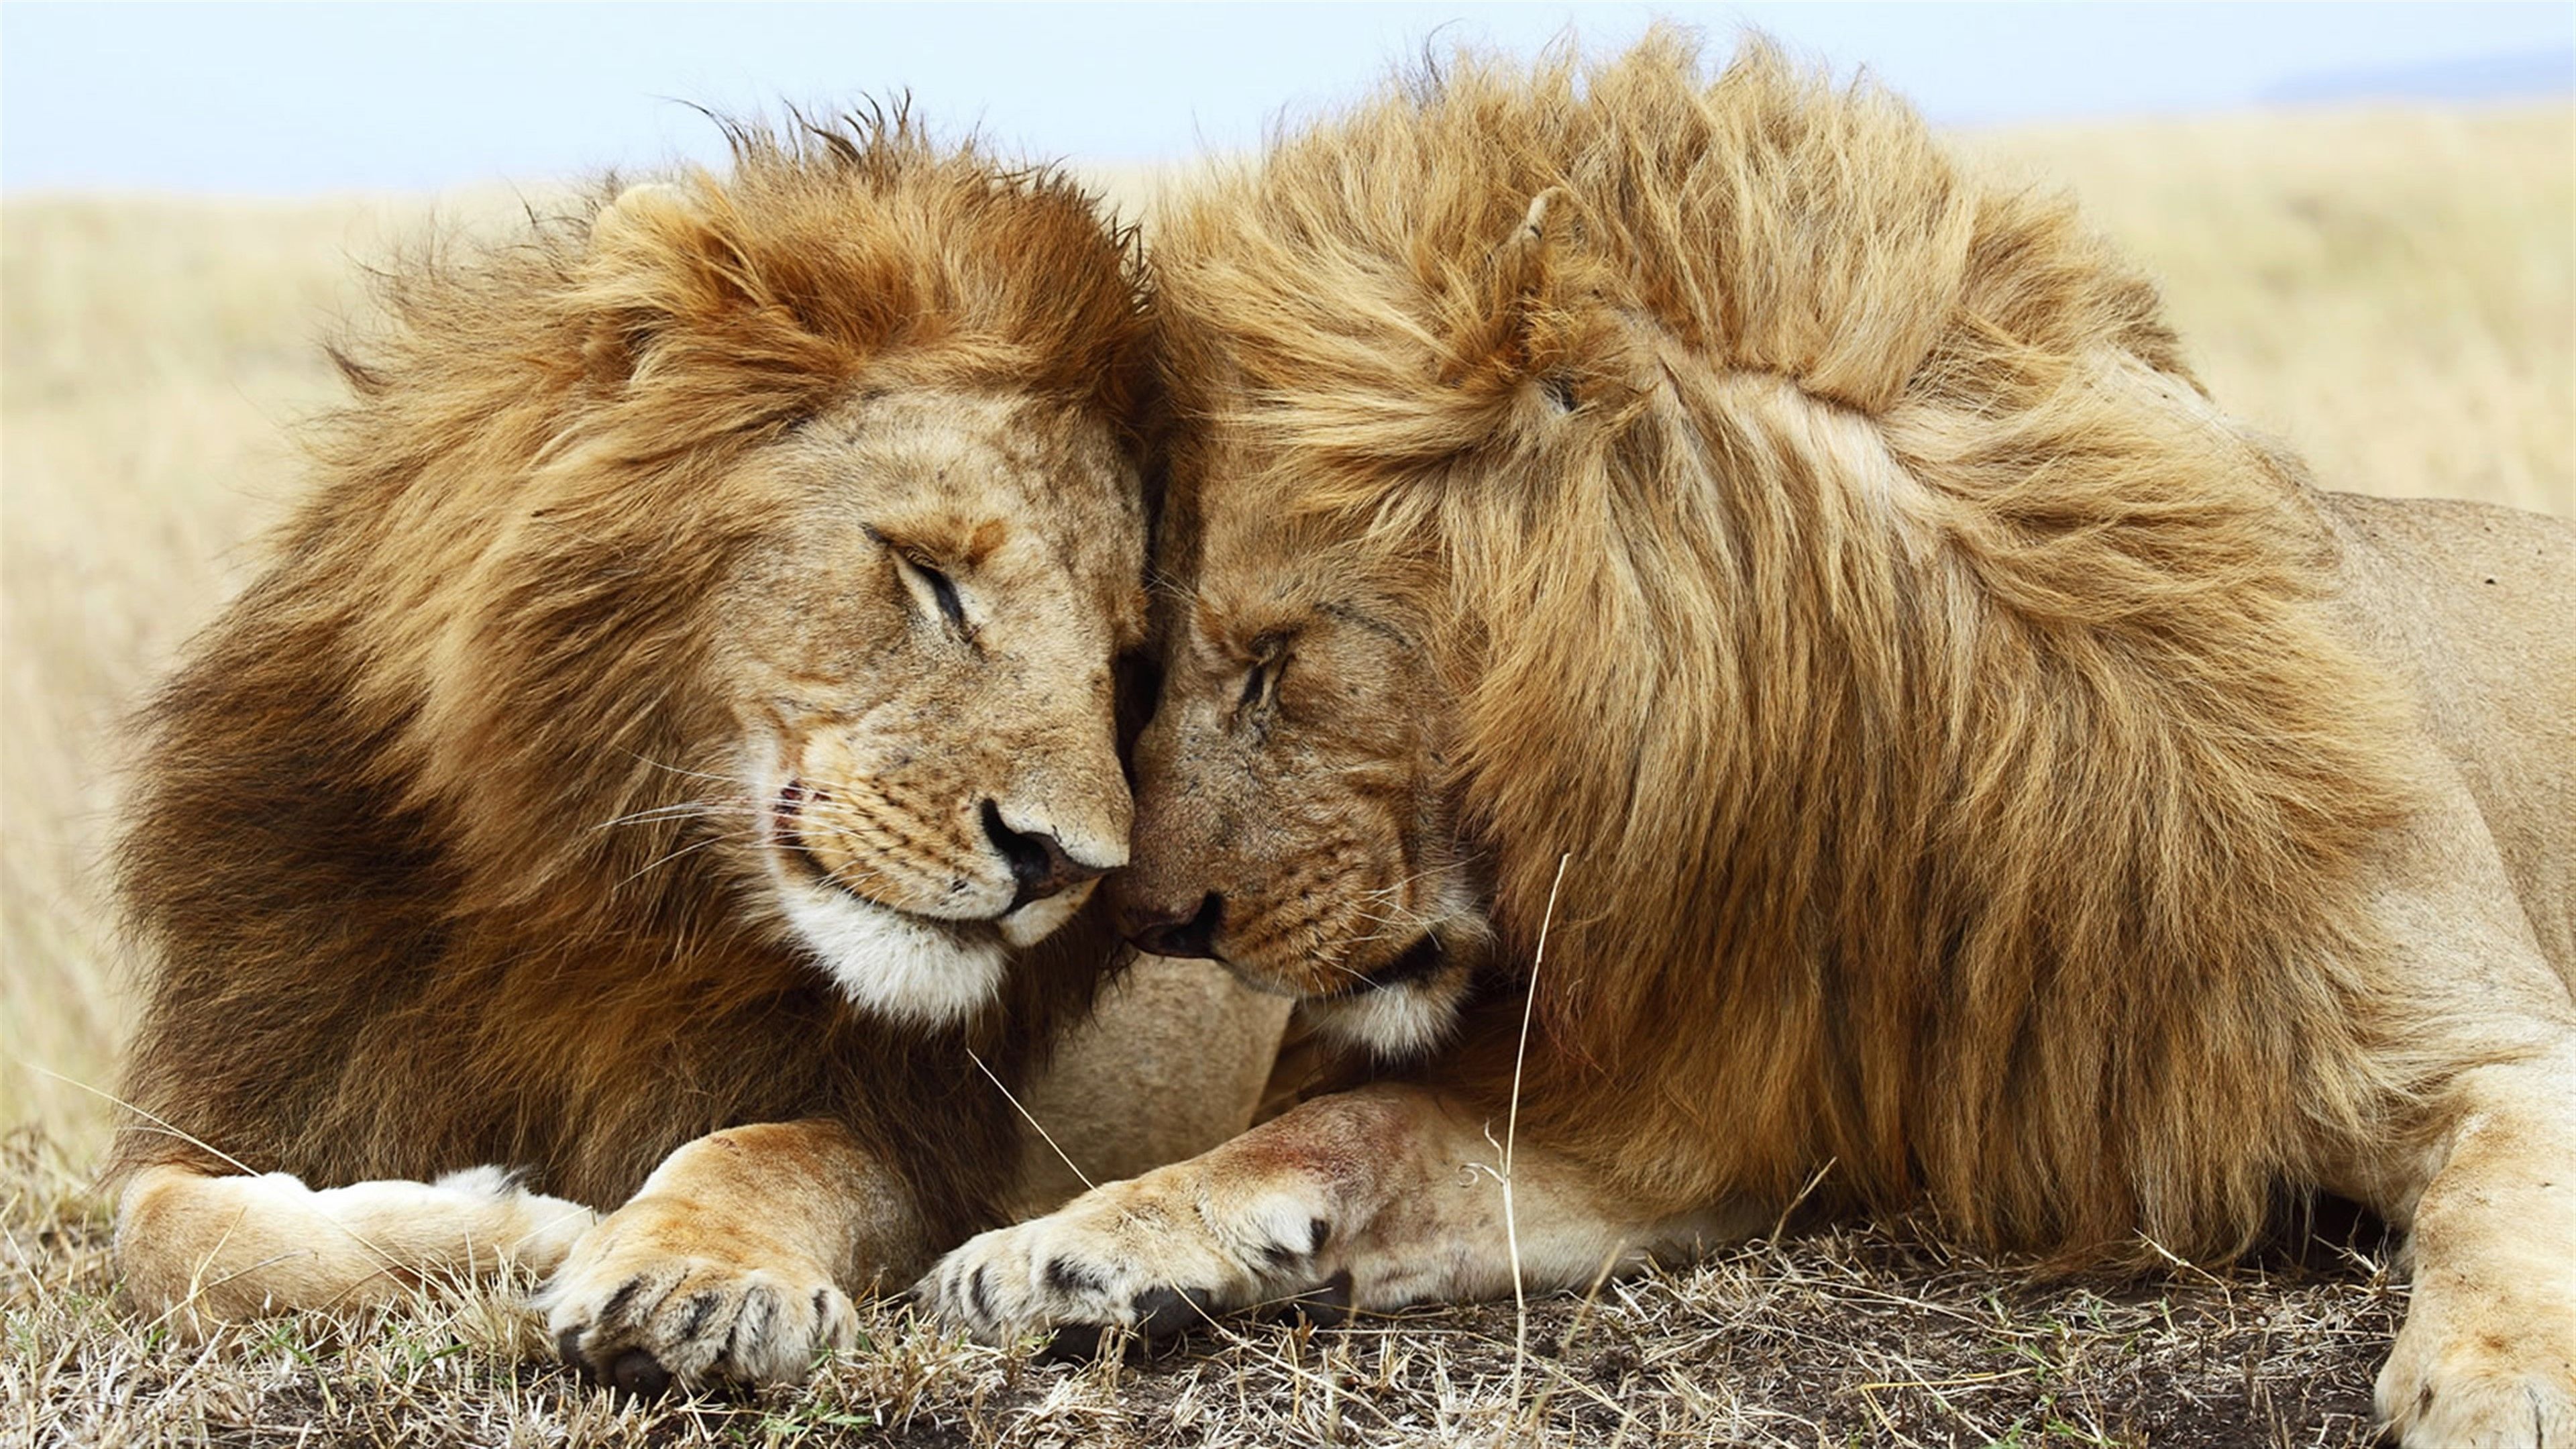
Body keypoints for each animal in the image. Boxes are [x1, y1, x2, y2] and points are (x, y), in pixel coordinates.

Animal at [105, 116, 1285, 1393]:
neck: (601, 898)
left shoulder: (922, 1140)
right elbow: (165, 1232)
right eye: (930, 575)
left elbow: (766, 1152)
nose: (1066, 864)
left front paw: (689, 1274)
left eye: (1125, 660)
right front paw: (508, 1225)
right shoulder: (251, 1083)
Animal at [923, 37, 2576, 1446]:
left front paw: (2499, 1389)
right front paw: (1062, 1248)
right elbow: (1350, 1128)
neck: (1871, 768)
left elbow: (2512, 1196)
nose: (1154, 920)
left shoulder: (2482, 1035)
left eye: (1273, 662)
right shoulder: (1689, 1115)